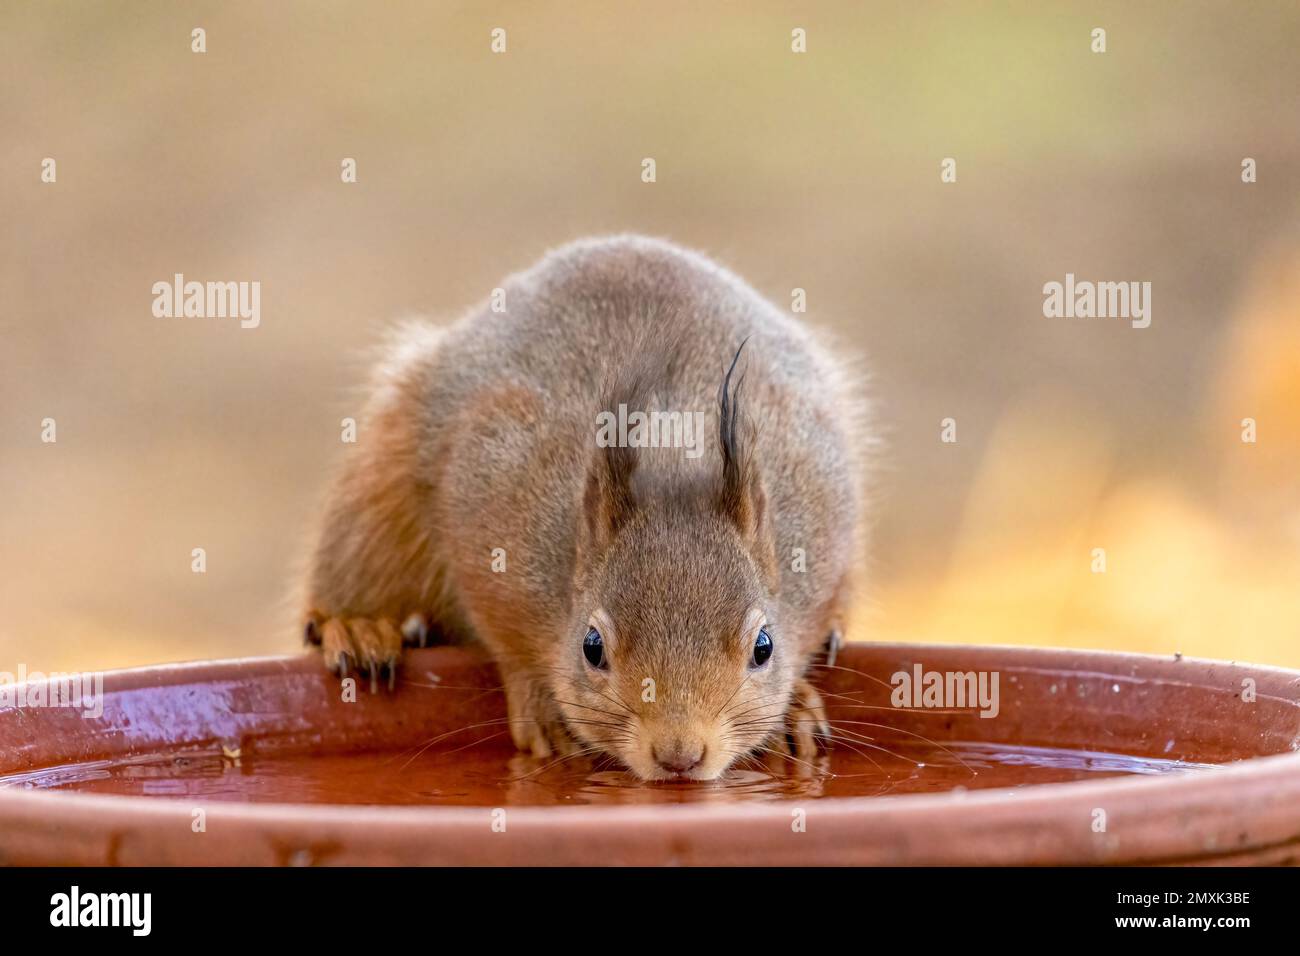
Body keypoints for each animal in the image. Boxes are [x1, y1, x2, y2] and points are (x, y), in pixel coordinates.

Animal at [302, 235, 869, 780]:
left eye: (764, 647)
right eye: (591, 647)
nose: (679, 755)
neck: (671, 454)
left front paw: (793, 710)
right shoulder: (488, 513)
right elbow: (507, 643)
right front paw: (542, 708)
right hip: (378, 493)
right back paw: (361, 630)